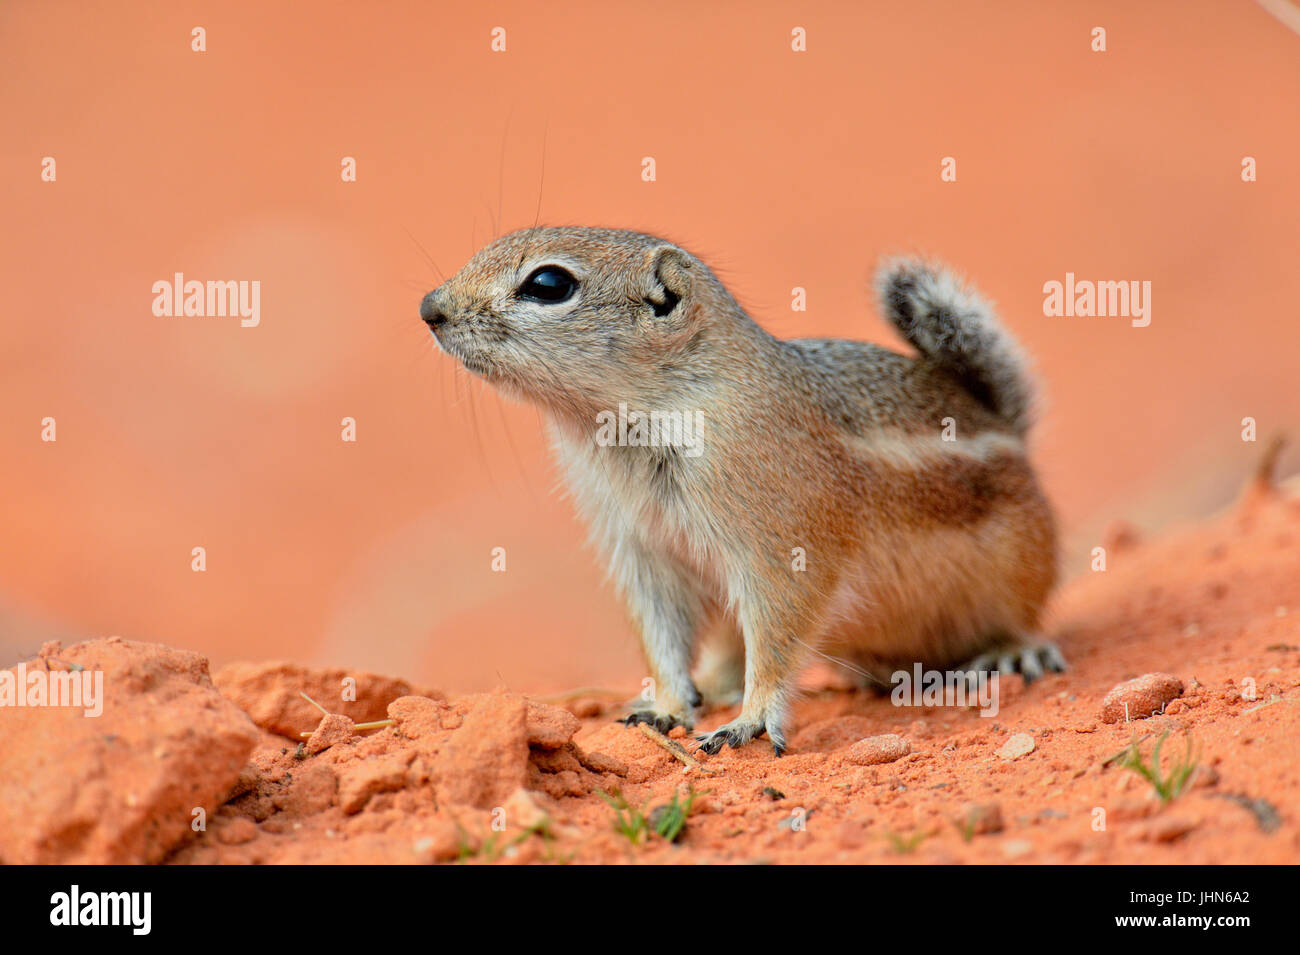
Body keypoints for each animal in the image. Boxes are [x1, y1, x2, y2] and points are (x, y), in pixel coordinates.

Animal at [420, 227, 1062, 755]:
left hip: (1018, 568)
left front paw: (752, 720)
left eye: (549, 284)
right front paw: (668, 706)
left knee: (1025, 615)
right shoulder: (644, 551)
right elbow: (662, 633)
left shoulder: (784, 549)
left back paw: (1015, 651)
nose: (430, 308)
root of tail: (1006, 426)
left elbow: (778, 637)